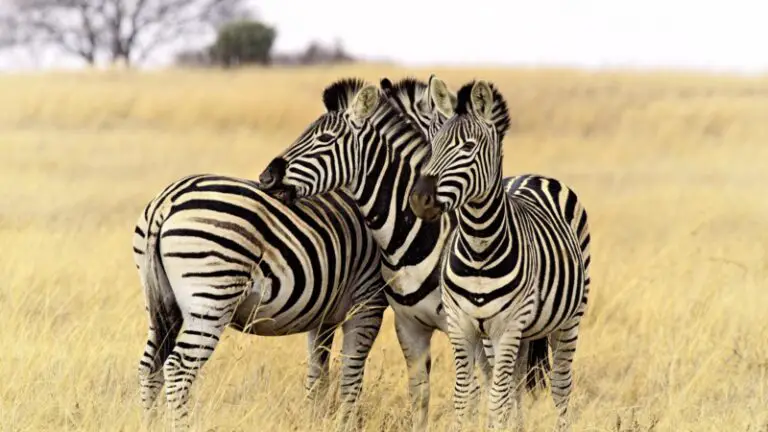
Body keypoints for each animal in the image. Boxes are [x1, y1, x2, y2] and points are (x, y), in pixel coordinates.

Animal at [133, 173, 388, 430]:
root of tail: (167, 200)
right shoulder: (368, 298)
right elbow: (351, 374)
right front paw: (347, 423)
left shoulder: (324, 314)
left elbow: (318, 374)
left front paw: (314, 420)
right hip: (212, 298)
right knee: (177, 369)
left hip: (159, 303)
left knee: (149, 367)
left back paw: (148, 424)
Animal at [408, 78, 592, 431]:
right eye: (432, 145)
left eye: (467, 148)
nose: (420, 200)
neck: (479, 247)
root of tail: (533, 175)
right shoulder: (461, 325)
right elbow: (466, 397)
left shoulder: (506, 327)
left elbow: (496, 400)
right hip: (518, 334)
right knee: (517, 384)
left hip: (568, 319)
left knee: (561, 387)